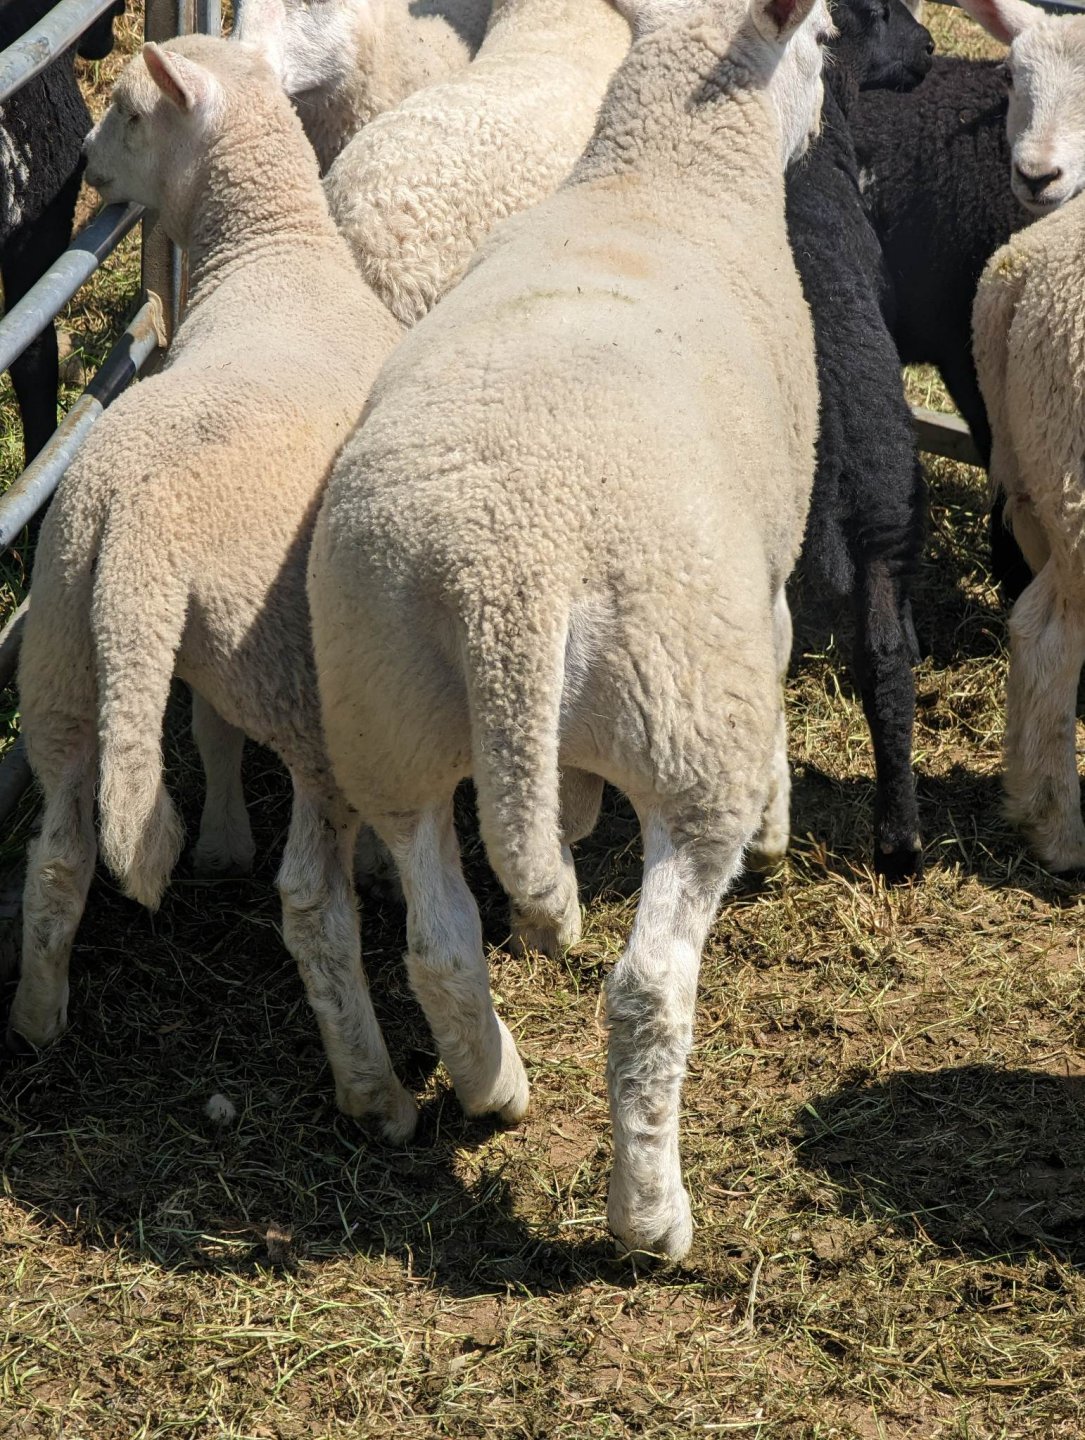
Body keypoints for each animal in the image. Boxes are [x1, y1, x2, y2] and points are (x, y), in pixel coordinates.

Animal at [7, 35, 418, 1143]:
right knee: (312, 905)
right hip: (299, 684)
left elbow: (209, 732)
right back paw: (376, 1094)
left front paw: (223, 840)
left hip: (63, 663)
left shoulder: (202, 650)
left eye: (131, 117)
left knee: (60, 854)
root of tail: (137, 530)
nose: (85, 169)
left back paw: (37, 1019)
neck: (272, 252)